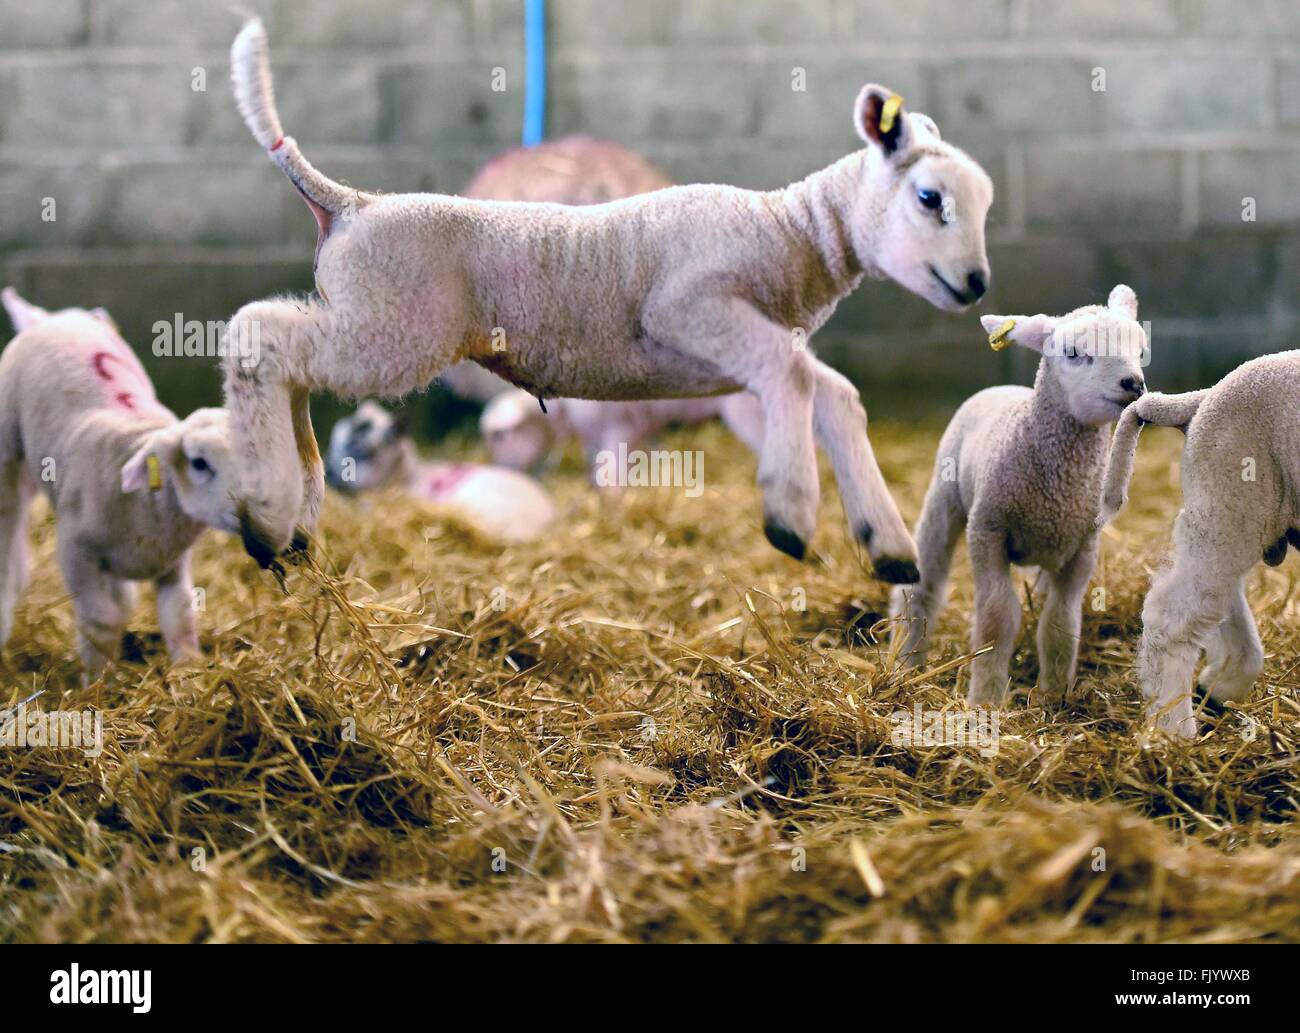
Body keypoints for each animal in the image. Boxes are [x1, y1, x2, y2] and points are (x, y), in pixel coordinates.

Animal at [0, 288, 240, 674]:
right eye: (200, 462)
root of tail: (50, 317)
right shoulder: (74, 551)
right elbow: (100, 620)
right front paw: (98, 679)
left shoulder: (173, 560)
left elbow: (179, 614)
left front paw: (189, 670)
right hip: (8, 448)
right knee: (8, 520)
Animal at [890, 286, 1149, 707]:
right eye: (1073, 353)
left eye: (1140, 351)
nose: (1133, 383)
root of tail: (1003, 388)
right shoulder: (988, 531)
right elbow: (998, 619)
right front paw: (986, 697)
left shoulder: (1082, 546)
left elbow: (1060, 620)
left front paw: (1055, 692)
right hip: (944, 501)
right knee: (922, 588)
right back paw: (907, 660)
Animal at [1098, 349, 1300, 737]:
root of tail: (1204, 396)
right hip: (1231, 497)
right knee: (1172, 617)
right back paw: (1174, 731)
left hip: (1228, 511)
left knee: (1215, 600)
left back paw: (1219, 686)